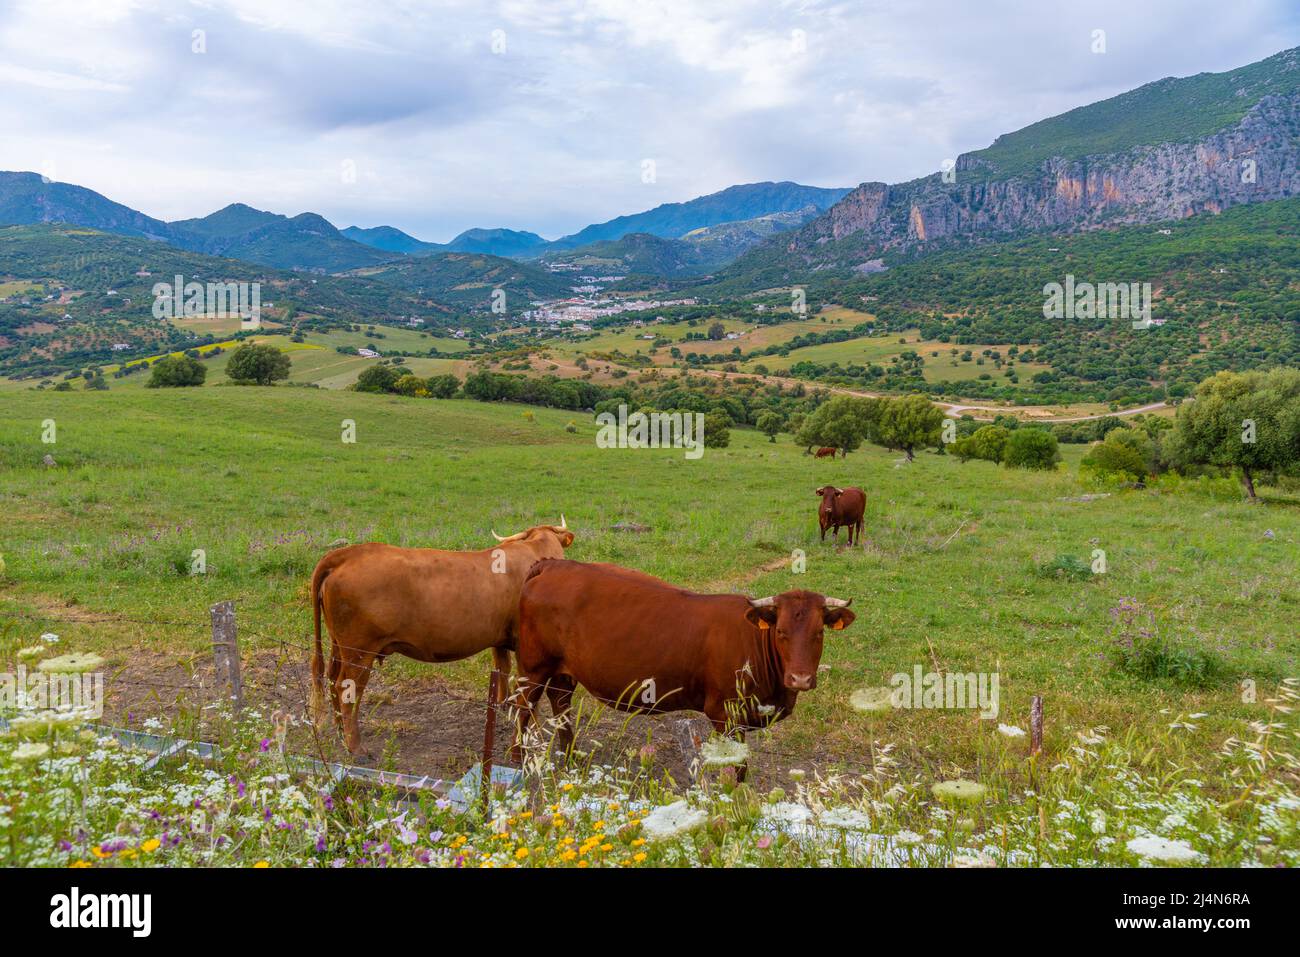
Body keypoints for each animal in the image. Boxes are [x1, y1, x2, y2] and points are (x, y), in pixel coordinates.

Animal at [309, 519, 574, 755]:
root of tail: (349, 553)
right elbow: (528, 692)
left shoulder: (500, 639)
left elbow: (502, 670)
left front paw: (502, 706)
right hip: (360, 652)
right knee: (346, 689)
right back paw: (355, 747)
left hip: (339, 646)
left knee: (332, 679)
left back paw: (340, 732)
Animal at [511, 559, 855, 777]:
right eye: (781, 632)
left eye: (819, 632)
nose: (800, 678)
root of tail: (555, 564)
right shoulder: (726, 715)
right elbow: (736, 765)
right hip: (533, 667)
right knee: (523, 707)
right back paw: (518, 760)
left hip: (563, 671)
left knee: (561, 705)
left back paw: (571, 757)